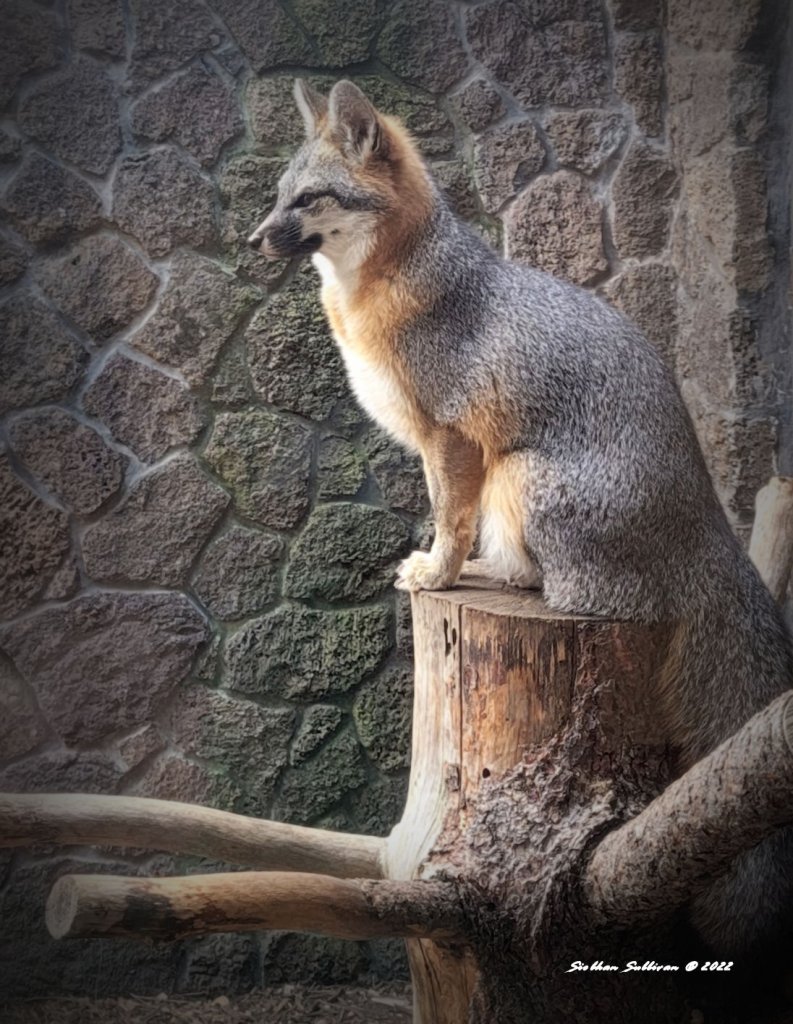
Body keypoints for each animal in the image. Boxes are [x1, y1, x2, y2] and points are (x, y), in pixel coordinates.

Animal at [248, 78, 793, 958]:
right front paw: (445, 569)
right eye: (275, 195)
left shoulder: (453, 439)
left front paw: (436, 575)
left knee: (595, 598)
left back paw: (521, 581)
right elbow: (447, 515)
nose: (254, 238)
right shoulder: (446, 446)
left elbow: (448, 516)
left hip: (521, 477)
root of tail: (707, 521)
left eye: (309, 198)